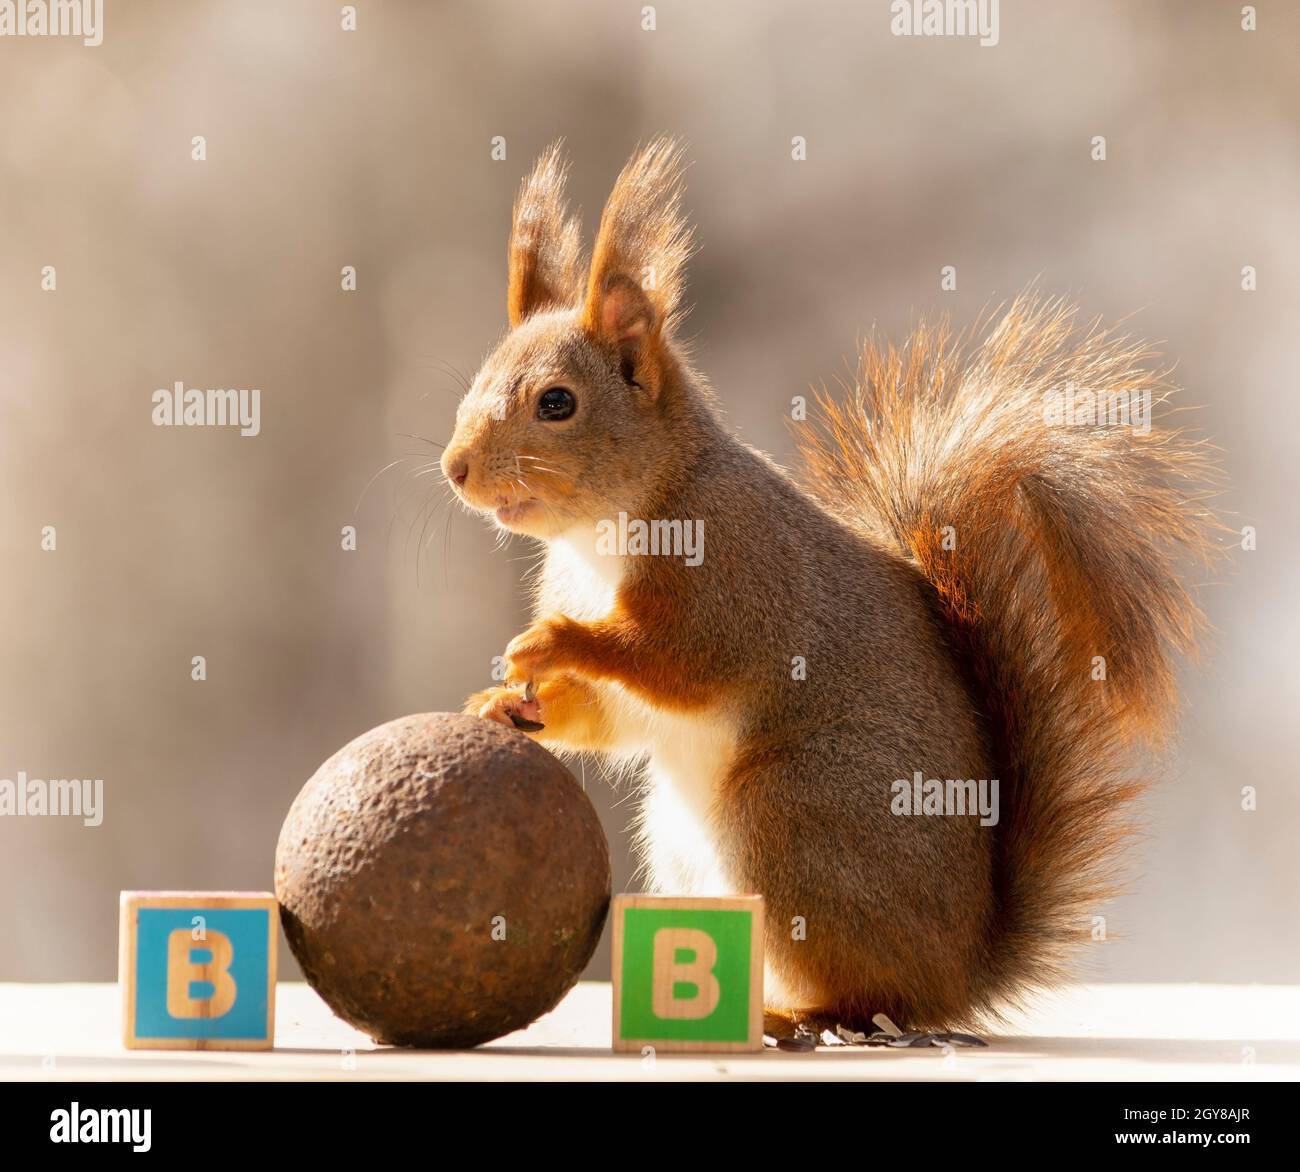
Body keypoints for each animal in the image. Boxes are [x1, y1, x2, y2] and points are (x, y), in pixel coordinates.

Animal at [442, 139, 1222, 1030]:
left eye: (557, 403)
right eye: (475, 384)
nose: (455, 469)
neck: (605, 531)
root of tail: (957, 976)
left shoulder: (737, 579)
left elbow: (683, 664)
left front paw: (557, 642)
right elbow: (610, 719)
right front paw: (506, 704)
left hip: (789, 813)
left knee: (866, 987)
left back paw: (802, 1016)